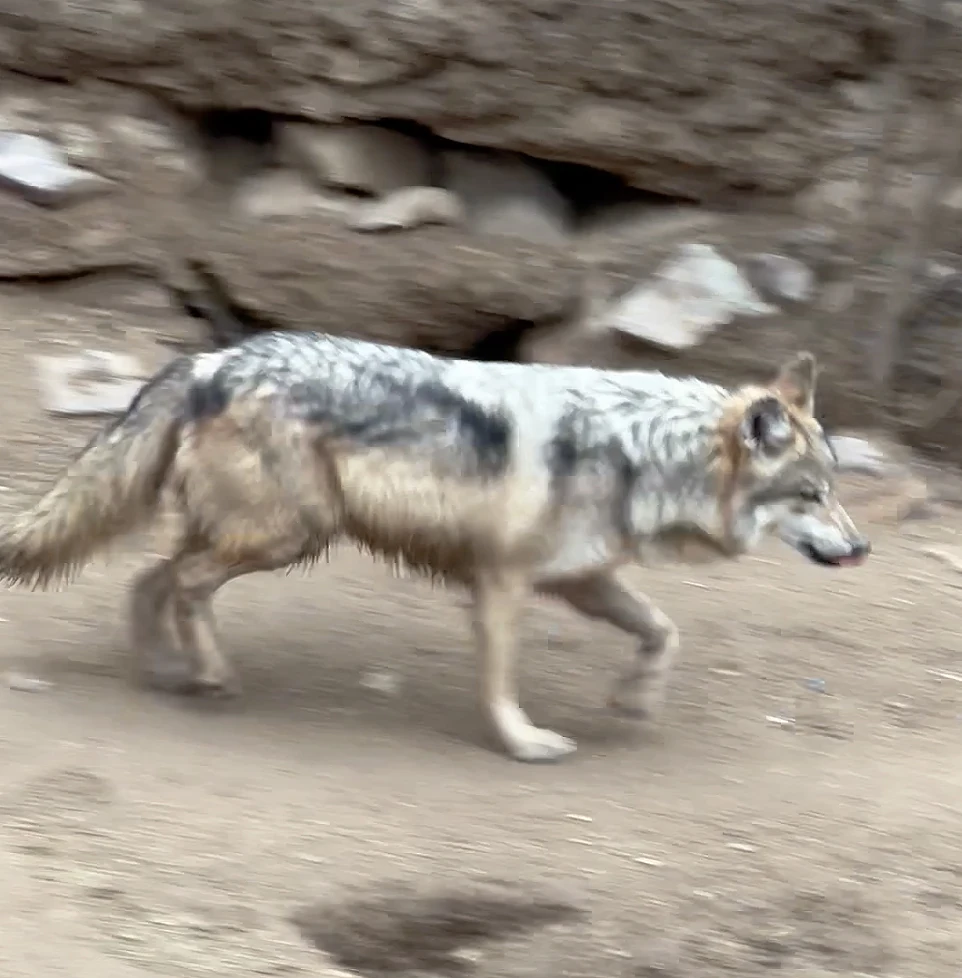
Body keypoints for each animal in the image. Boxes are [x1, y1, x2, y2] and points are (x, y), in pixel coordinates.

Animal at [0, 332, 869, 762]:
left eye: (834, 490)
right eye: (812, 495)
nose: (862, 549)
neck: (639, 452)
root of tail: (211, 360)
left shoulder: (581, 579)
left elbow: (664, 631)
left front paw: (634, 701)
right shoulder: (503, 586)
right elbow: (500, 686)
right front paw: (523, 743)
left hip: (263, 534)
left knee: (150, 581)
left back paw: (167, 671)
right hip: (292, 535)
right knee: (178, 581)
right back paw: (207, 674)